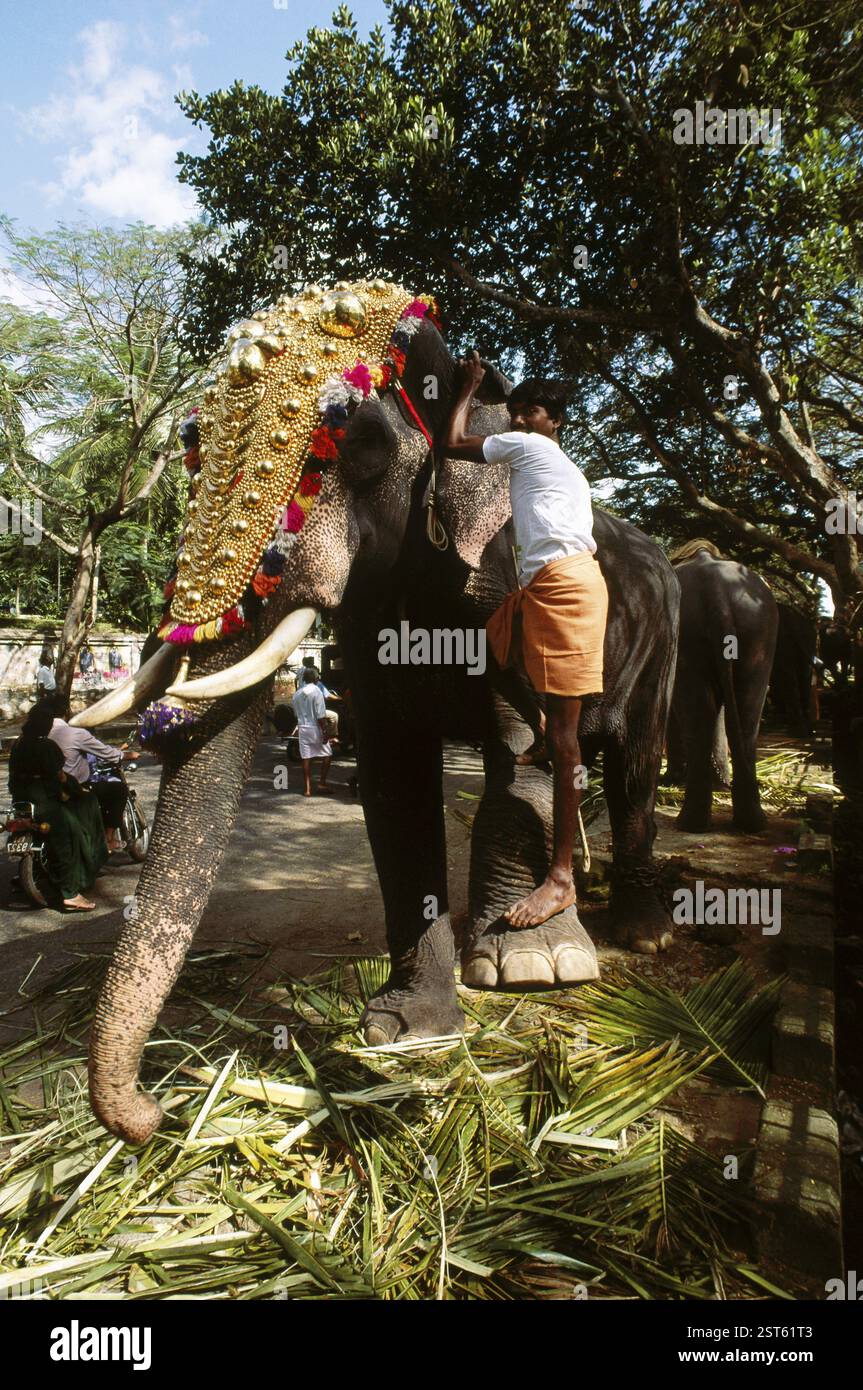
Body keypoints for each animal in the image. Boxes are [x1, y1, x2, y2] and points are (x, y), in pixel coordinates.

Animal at [72, 279, 680, 1144]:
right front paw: (403, 1030)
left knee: (630, 767)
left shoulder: (498, 582)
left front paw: (528, 969)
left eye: (350, 436)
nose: (151, 1114)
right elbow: (394, 789)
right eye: (188, 442)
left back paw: (638, 931)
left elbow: (520, 757)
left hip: (662, 639)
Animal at [668, 546, 778, 832]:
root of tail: (716, 589)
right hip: (758, 632)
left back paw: (690, 823)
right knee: (745, 710)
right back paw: (750, 822)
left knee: (701, 712)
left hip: (693, 632)